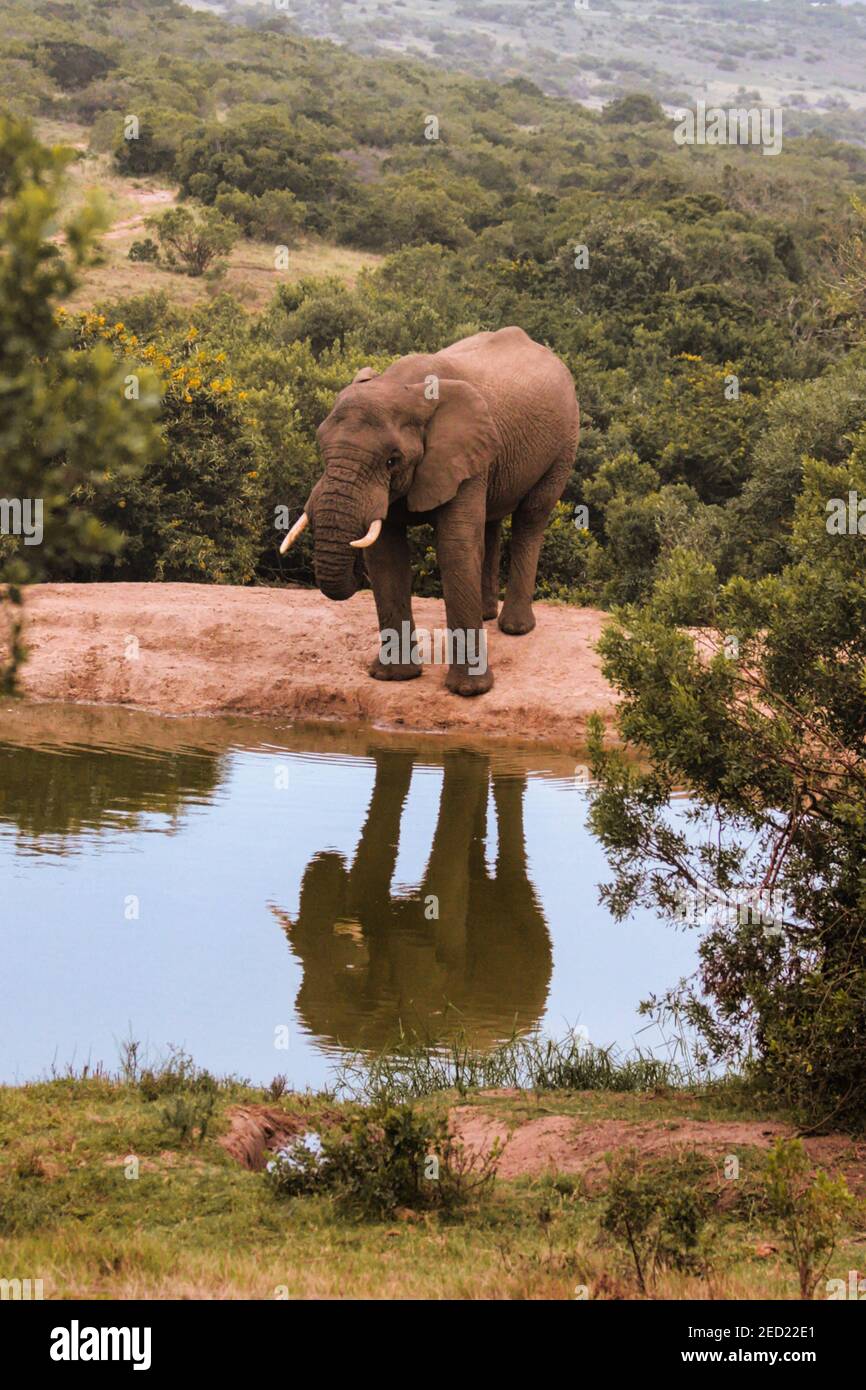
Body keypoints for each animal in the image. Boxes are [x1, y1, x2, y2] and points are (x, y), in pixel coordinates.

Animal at [280, 326, 579, 696]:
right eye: (322, 448)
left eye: (392, 461)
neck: (406, 389)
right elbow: (386, 556)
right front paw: (393, 677)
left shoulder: (461, 452)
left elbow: (454, 549)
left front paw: (469, 692)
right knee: (490, 523)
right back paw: (485, 615)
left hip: (565, 441)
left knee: (531, 516)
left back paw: (515, 628)